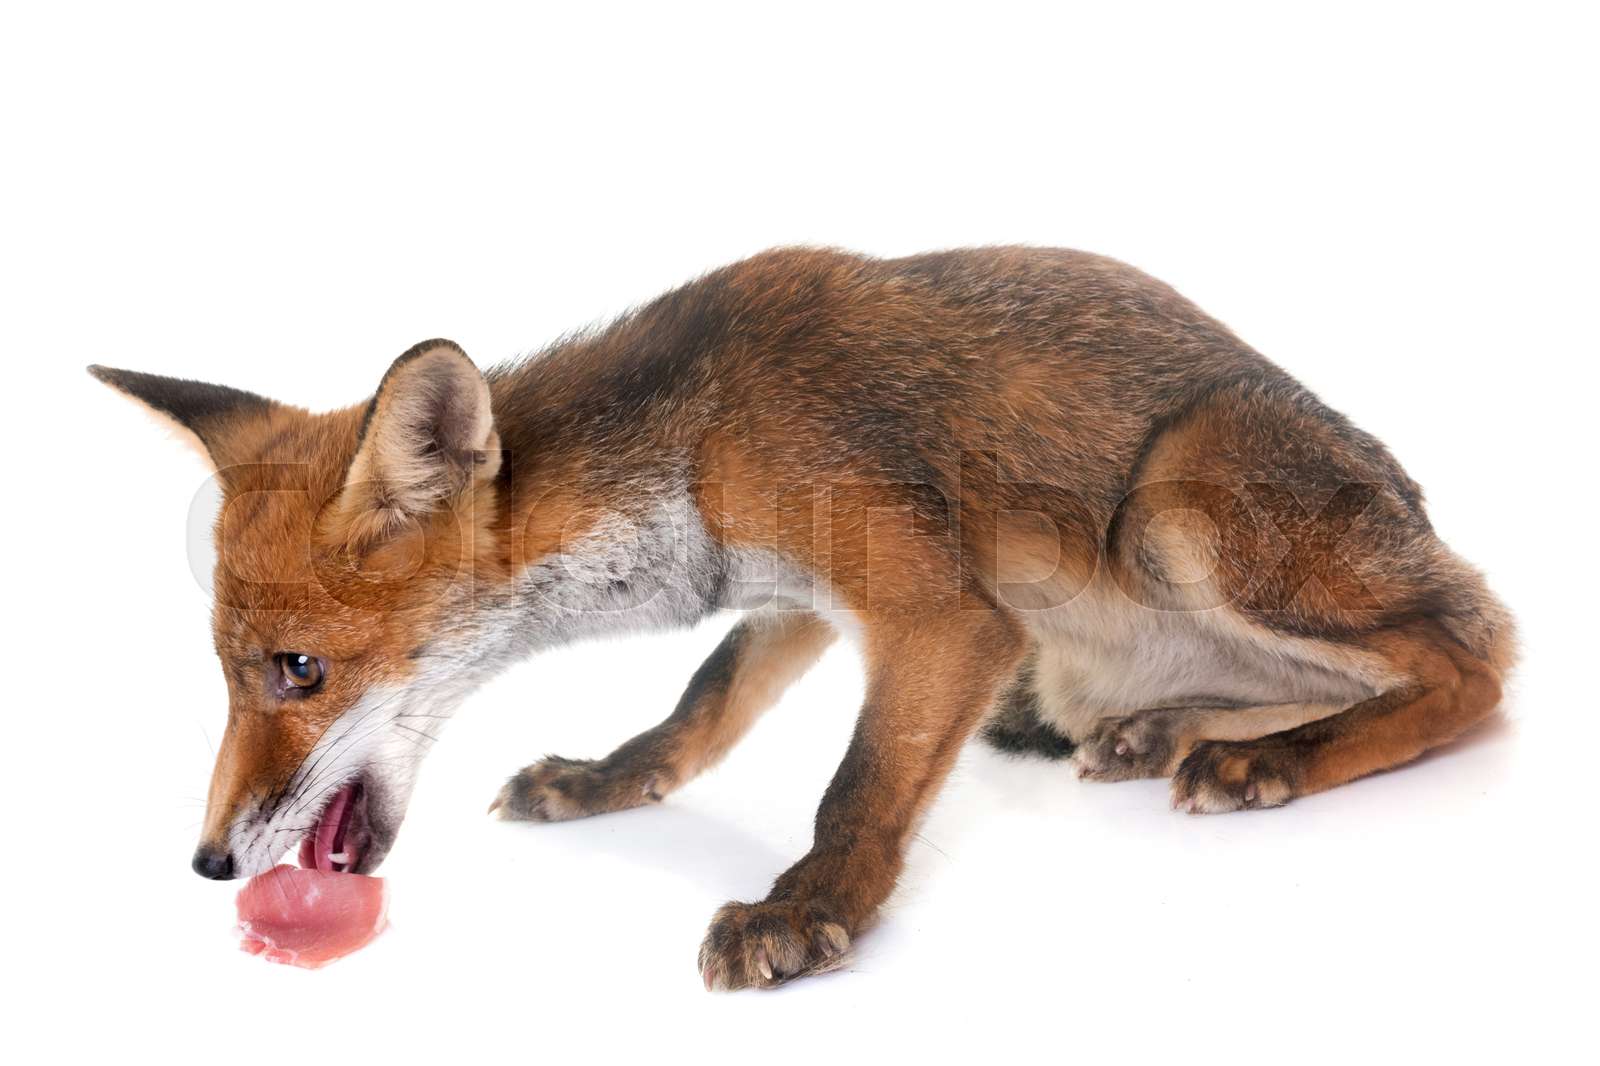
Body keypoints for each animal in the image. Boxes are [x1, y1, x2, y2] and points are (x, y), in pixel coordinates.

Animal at [91, 246, 1515, 989]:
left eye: (299, 669)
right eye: (227, 672)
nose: (209, 864)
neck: (695, 432)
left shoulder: (944, 612)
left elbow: (861, 783)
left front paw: (812, 905)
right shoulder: (791, 598)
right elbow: (699, 708)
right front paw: (603, 777)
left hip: (1172, 502)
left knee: (1473, 662)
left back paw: (1277, 757)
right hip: (1076, 666)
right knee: (1337, 674)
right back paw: (1174, 732)